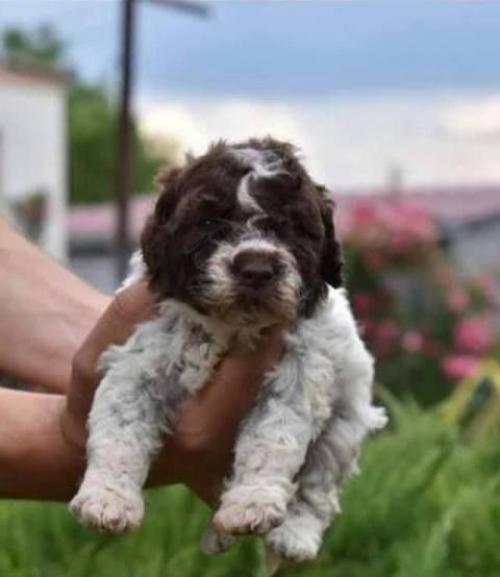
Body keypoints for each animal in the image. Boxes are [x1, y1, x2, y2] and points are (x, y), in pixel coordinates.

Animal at [69, 138, 386, 564]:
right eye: (207, 223)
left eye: (290, 227)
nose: (256, 268)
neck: (230, 326)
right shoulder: (137, 362)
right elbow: (119, 429)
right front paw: (107, 500)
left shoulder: (294, 378)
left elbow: (273, 439)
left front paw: (252, 505)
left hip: (346, 422)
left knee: (318, 486)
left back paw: (294, 535)